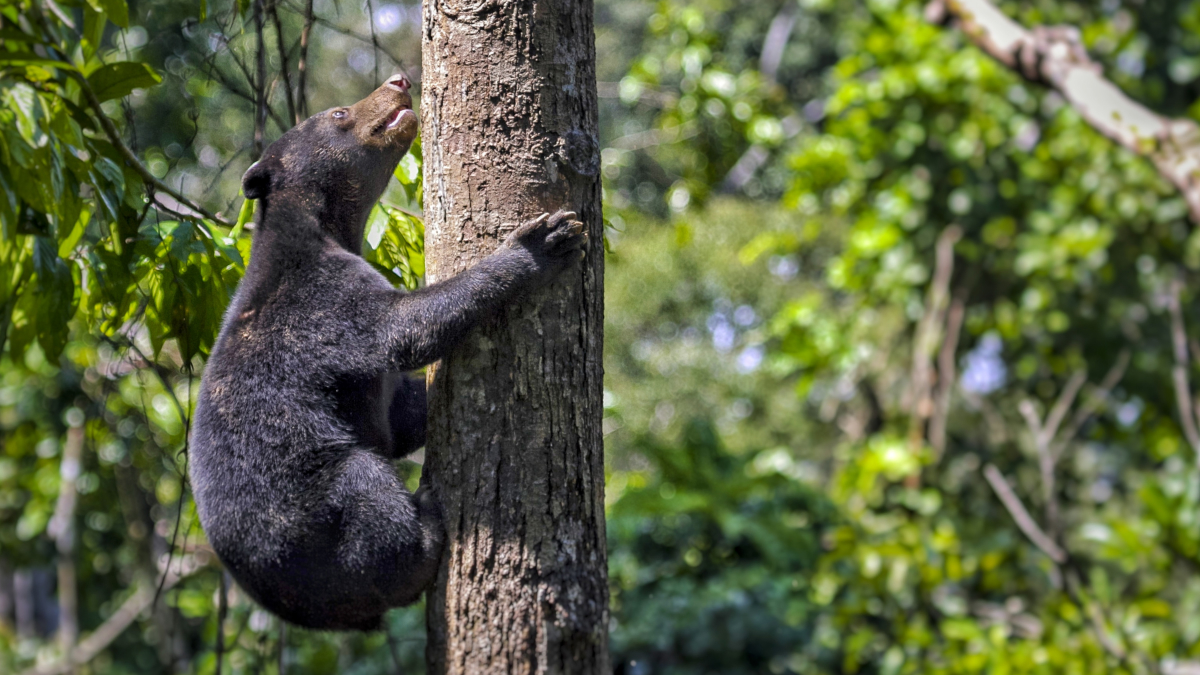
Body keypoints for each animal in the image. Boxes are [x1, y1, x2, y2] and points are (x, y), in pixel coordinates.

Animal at [189, 74, 587, 632]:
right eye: (338, 113)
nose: (398, 81)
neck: (324, 228)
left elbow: (399, 412)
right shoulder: (323, 302)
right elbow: (408, 327)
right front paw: (541, 243)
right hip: (312, 518)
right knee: (368, 492)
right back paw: (428, 526)